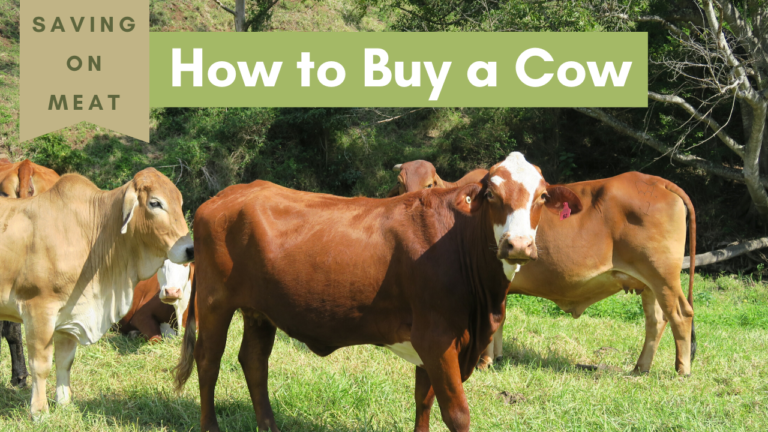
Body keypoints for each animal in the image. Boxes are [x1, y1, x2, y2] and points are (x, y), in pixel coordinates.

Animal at [173, 152, 582, 432]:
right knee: (208, 361)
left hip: (260, 309)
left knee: (254, 362)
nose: (518, 245)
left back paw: (270, 427)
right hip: (214, 301)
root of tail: (226, 195)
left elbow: (423, 400)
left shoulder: (432, 343)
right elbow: (457, 413)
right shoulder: (437, 337)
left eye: (541, 197)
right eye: (491, 193)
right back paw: (210, 427)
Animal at [390, 160, 696, 375]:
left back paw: (682, 369)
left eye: (429, 184)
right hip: (648, 284)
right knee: (656, 321)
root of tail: (656, 181)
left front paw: (484, 361)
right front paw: (495, 357)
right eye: (401, 183)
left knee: (681, 314)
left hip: (663, 276)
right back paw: (640, 367)